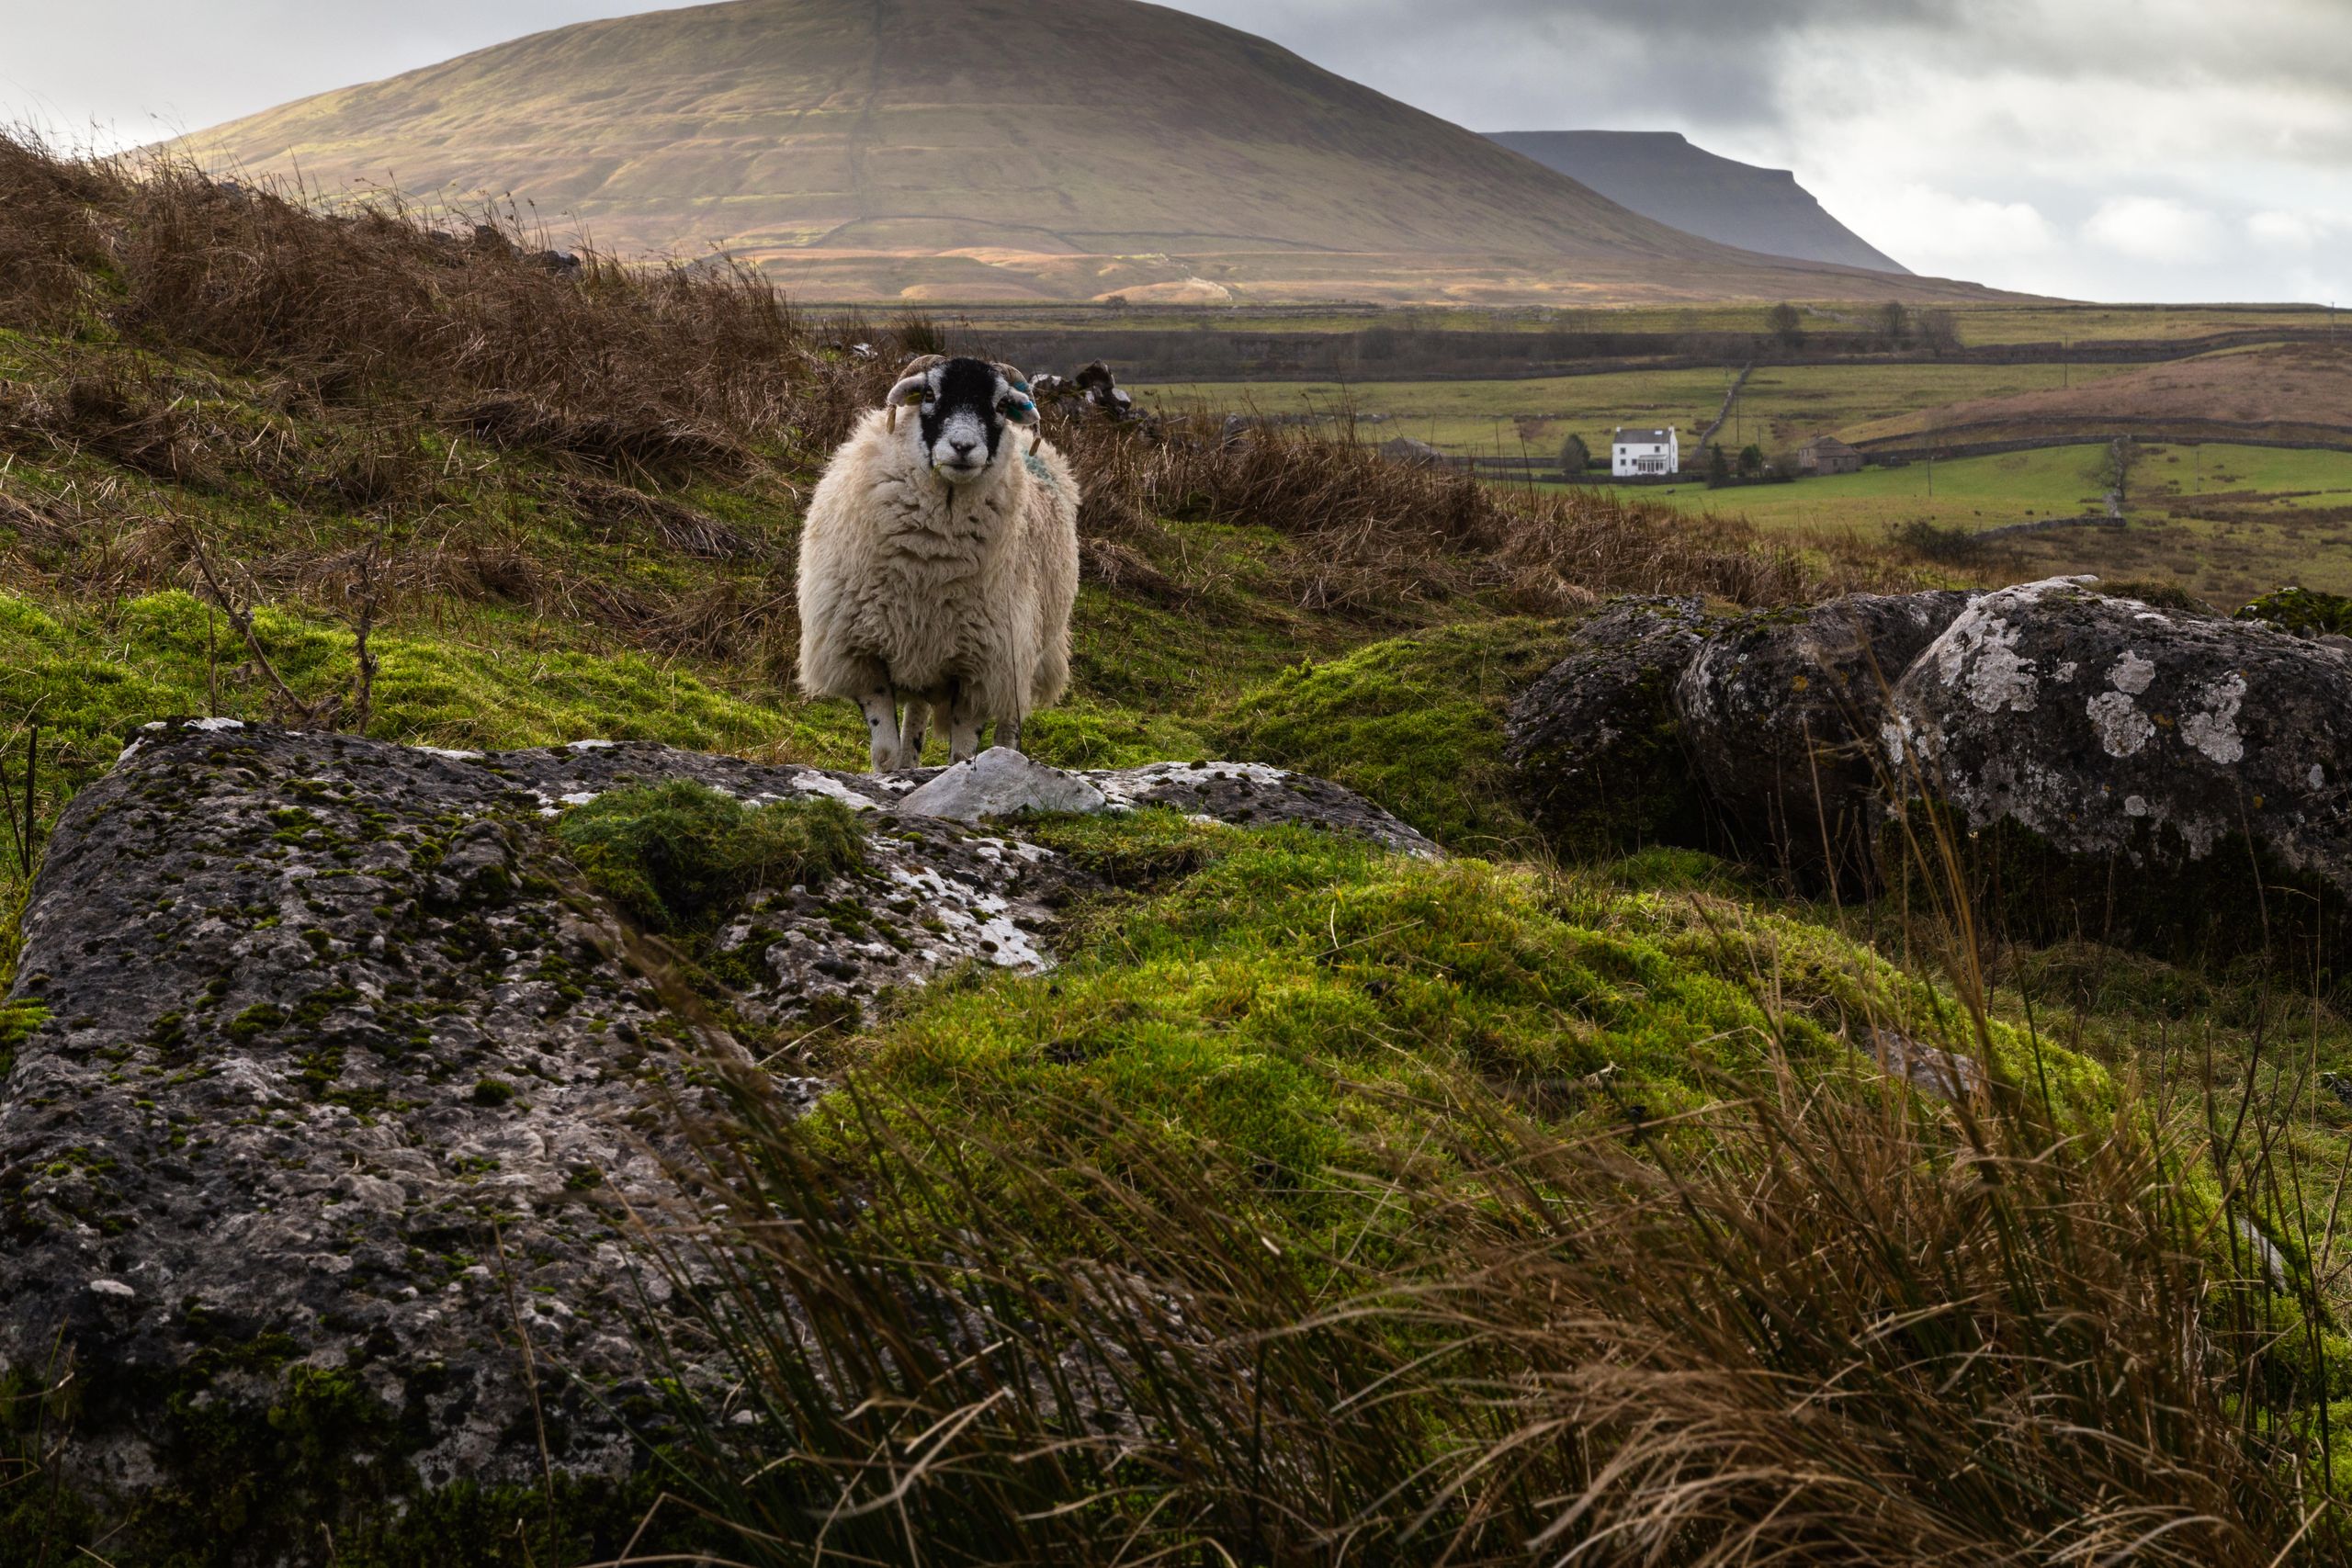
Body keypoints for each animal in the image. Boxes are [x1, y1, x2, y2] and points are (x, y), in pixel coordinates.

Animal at [795, 354, 1082, 773]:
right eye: (929, 394)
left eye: (1000, 405)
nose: (963, 447)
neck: (929, 560)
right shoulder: (861, 654)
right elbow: (884, 749)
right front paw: (891, 772)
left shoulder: (982, 668)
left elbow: (963, 754)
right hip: (924, 650)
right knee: (916, 712)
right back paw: (910, 762)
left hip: (1025, 650)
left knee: (1009, 722)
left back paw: (1009, 756)